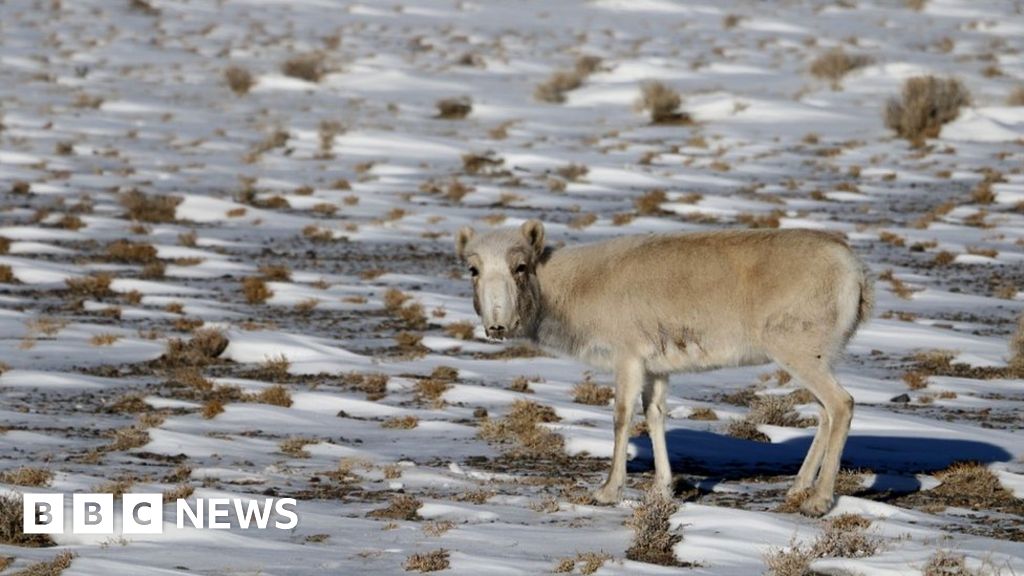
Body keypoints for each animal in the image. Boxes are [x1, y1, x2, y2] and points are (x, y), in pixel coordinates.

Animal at [455, 221, 873, 516]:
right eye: (473, 270)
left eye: (520, 266)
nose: (497, 325)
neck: (573, 287)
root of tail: (853, 269)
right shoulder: (655, 370)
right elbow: (654, 416)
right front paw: (661, 487)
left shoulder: (627, 359)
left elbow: (622, 417)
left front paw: (608, 491)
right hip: (817, 358)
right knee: (824, 413)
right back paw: (798, 487)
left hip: (799, 354)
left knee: (841, 405)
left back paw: (818, 501)